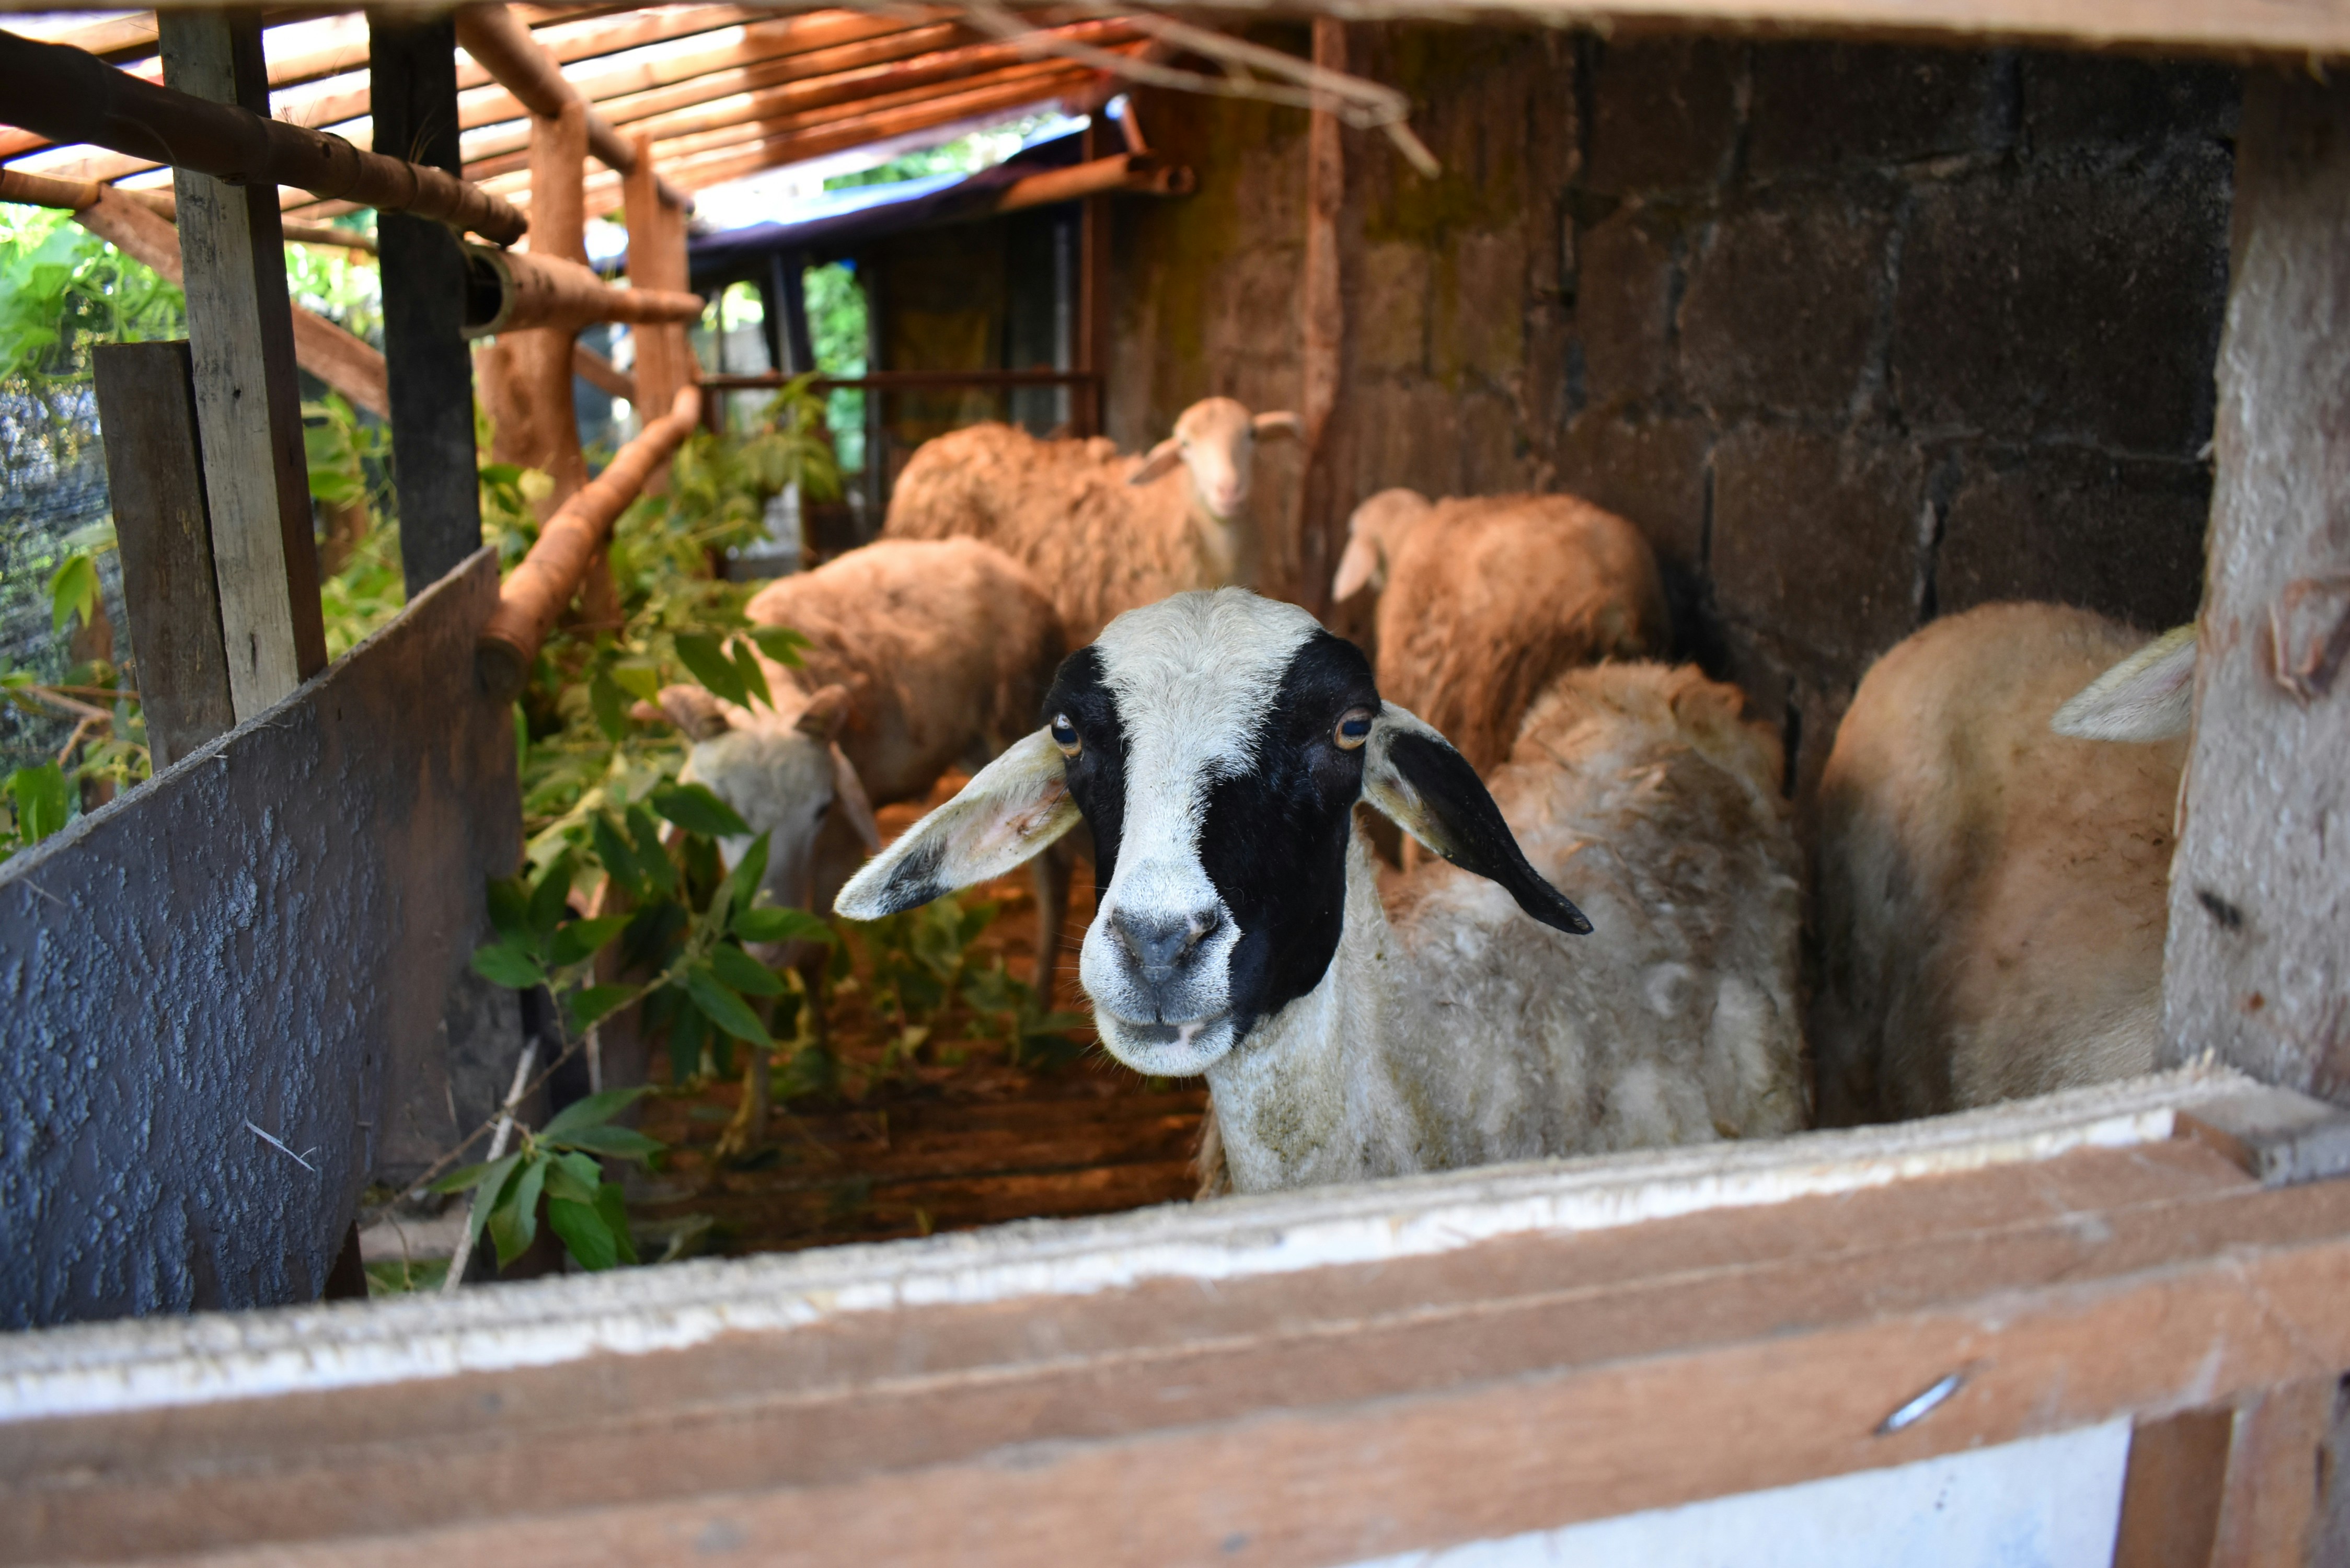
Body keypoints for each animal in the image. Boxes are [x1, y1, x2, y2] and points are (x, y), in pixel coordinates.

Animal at [651, 538, 1066, 1158]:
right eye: (715, 807)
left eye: (822, 809)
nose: (767, 931)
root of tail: (996, 557)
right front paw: (767, 1095)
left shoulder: (837, 850)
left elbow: (812, 953)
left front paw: (802, 1075)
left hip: (1017, 717)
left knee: (1055, 869)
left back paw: (1036, 1018)